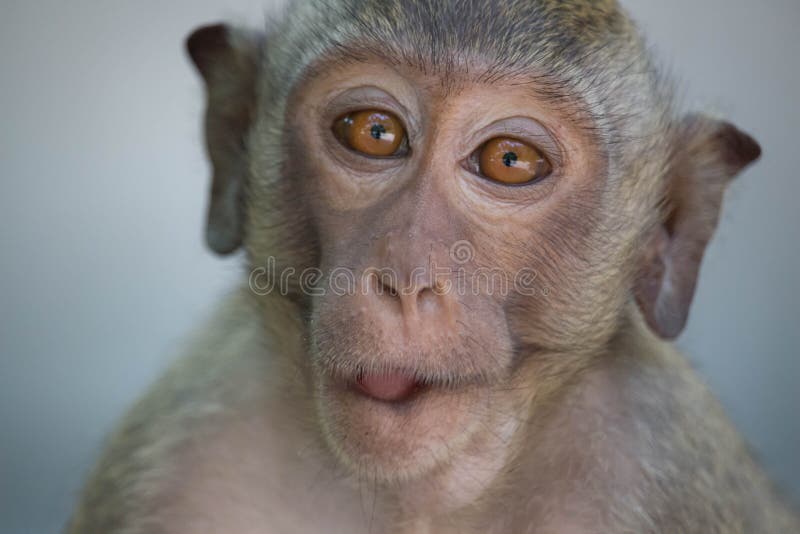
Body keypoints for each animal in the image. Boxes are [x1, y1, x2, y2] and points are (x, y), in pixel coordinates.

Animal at [68, 1, 800, 532]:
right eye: (374, 132)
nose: (407, 279)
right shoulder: (177, 449)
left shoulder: (658, 464)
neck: (411, 501)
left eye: (510, 161)